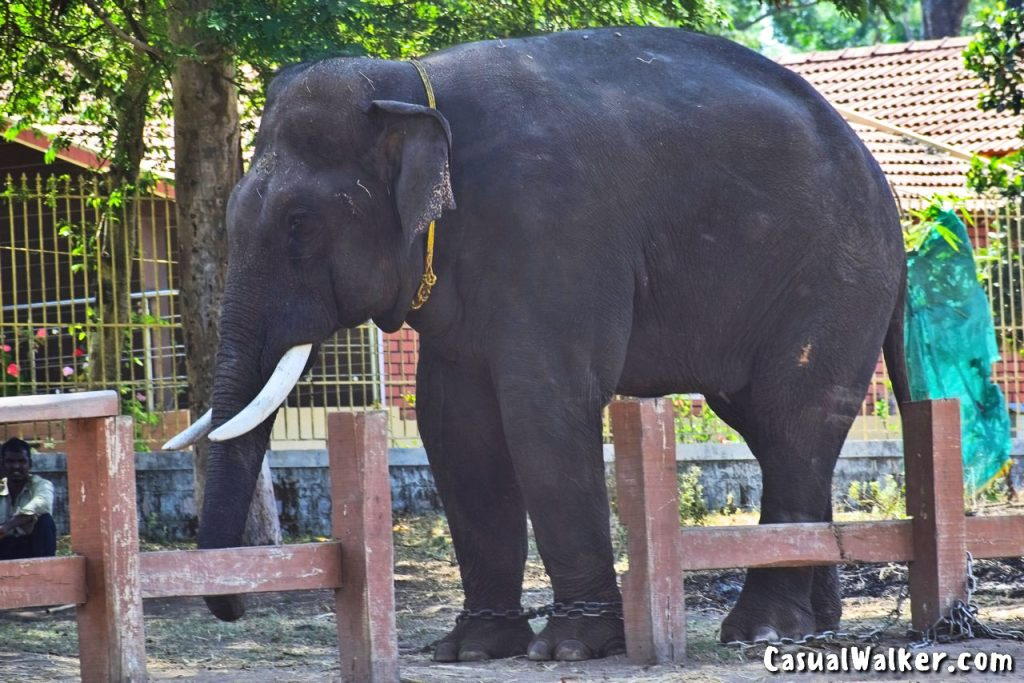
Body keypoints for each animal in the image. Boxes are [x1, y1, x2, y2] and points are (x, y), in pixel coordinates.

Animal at [165, 26, 909, 662]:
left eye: (298, 222)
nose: (233, 608)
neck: (410, 84)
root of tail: (885, 183)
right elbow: (454, 423)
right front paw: (471, 650)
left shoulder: (554, 226)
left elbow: (541, 407)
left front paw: (574, 648)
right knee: (767, 425)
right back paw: (815, 623)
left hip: (834, 279)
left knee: (791, 419)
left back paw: (760, 631)